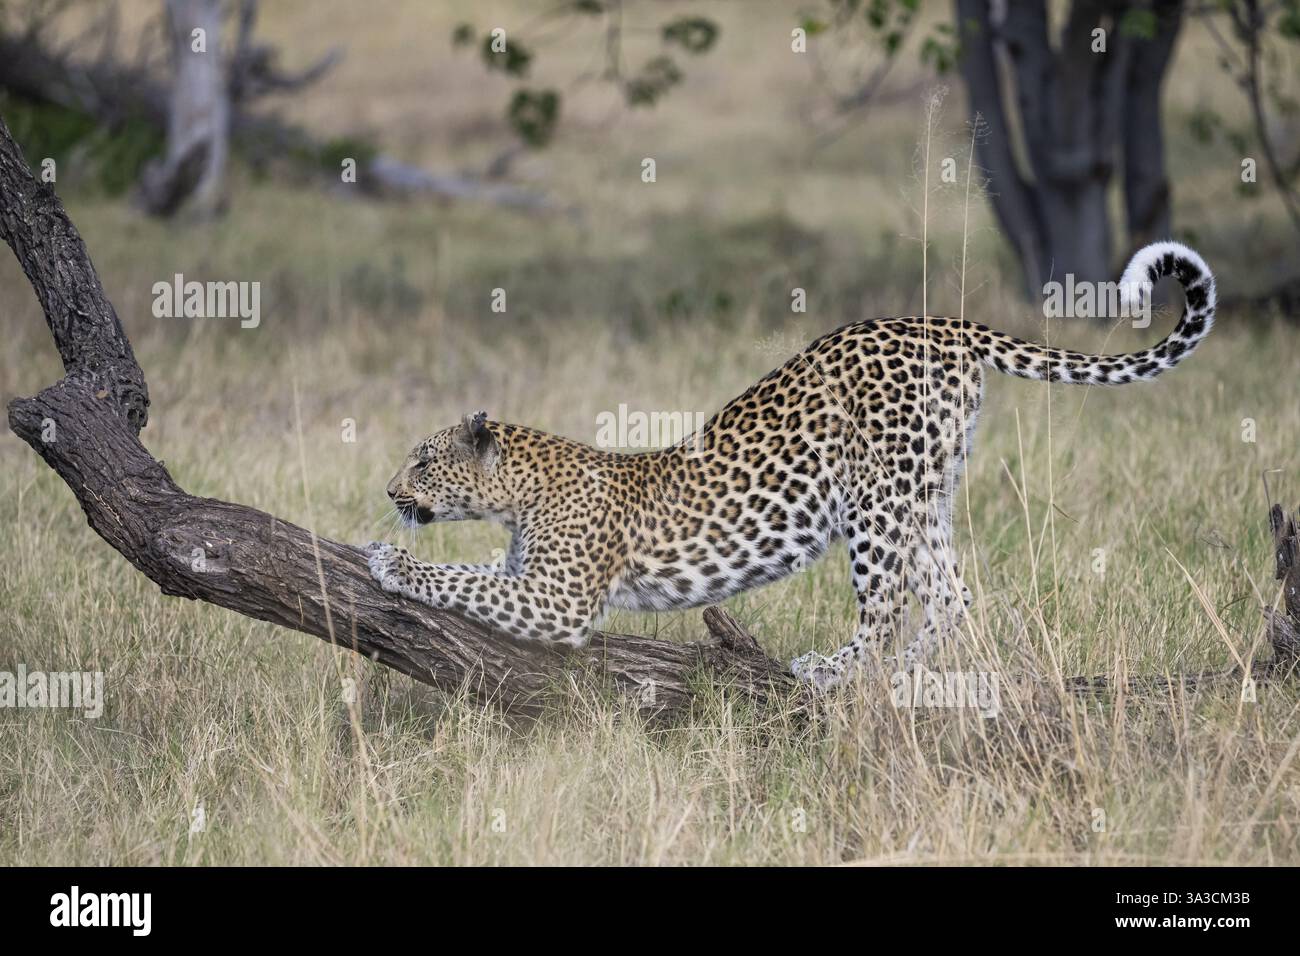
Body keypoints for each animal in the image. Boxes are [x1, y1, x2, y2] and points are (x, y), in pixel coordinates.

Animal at [366, 241, 1216, 691]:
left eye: (423, 459)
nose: (390, 489)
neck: (523, 489)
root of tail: (938, 324)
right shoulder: (532, 580)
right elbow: (478, 571)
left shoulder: (559, 601)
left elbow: (460, 579)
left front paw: (390, 563)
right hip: (925, 491)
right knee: (950, 594)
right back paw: (899, 682)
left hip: (877, 499)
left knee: (888, 604)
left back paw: (829, 673)